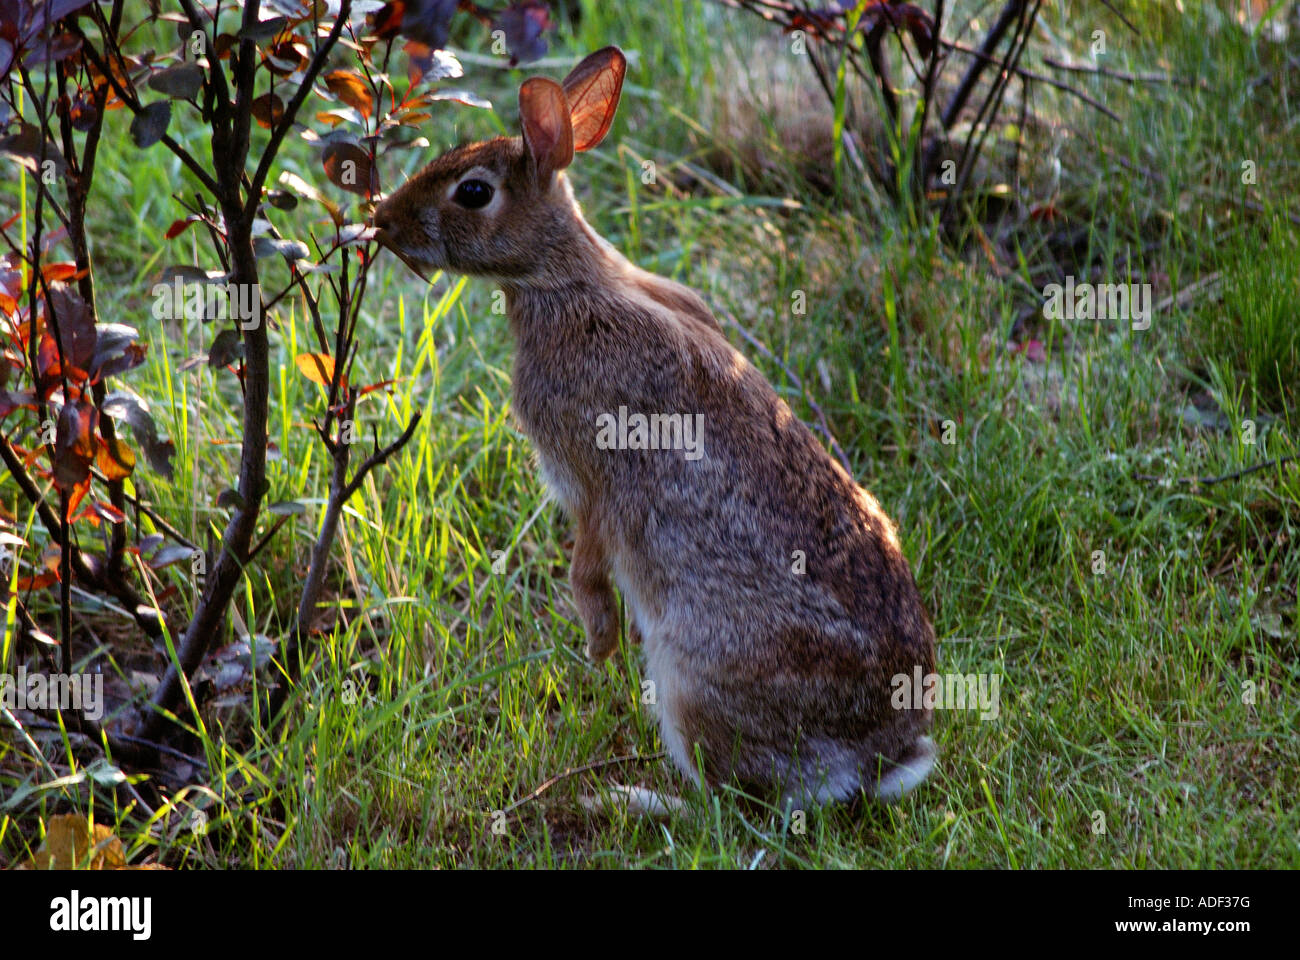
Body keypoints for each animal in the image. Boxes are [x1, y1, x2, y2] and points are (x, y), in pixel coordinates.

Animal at [371, 46, 937, 806]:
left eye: (473, 192)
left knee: (727, 805)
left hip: (692, 686)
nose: (383, 221)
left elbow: (588, 562)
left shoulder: (589, 478)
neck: (564, 282)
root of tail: (878, 753)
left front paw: (599, 643)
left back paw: (633, 799)